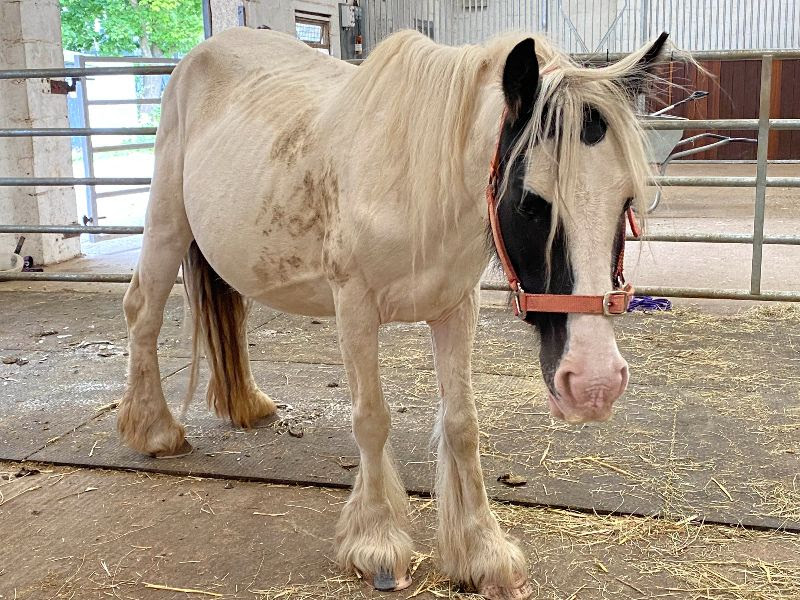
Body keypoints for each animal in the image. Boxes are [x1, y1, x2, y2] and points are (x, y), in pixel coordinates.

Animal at [118, 27, 669, 599]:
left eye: (627, 201)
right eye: (529, 204)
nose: (594, 384)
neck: (415, 181)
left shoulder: (456, 308)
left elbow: (462, 424)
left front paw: (482, 553)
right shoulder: (354, 307)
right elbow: (371, 420)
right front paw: (378, 544)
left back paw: (247, 405)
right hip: (167, 220)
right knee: (143, 312)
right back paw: (154, 431)